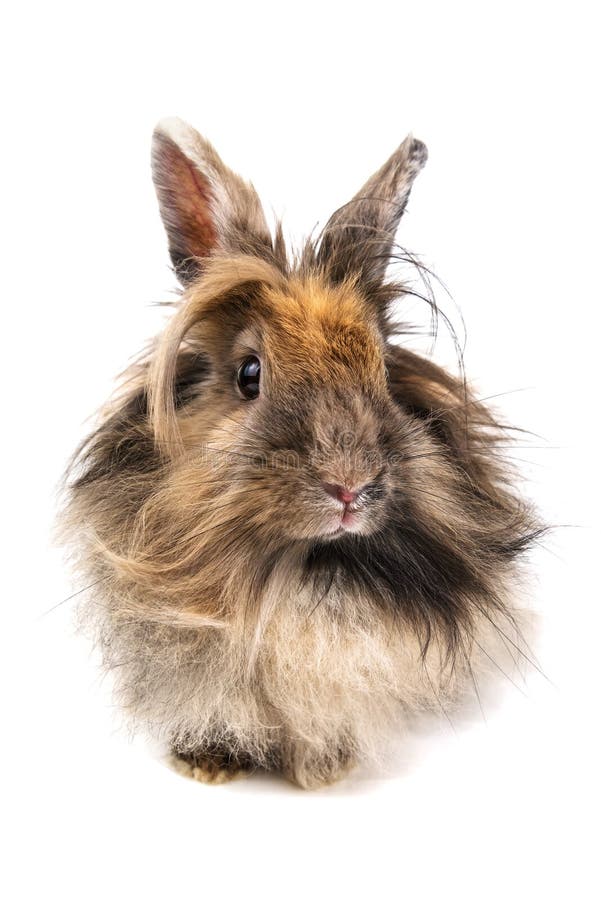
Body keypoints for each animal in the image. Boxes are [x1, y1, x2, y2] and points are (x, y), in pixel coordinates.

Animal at [62, 117, 539, 789]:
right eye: (250, 374)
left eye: (382, 371)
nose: (349, 488)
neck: (289, 567)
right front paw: (205, 765)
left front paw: (326, 771)